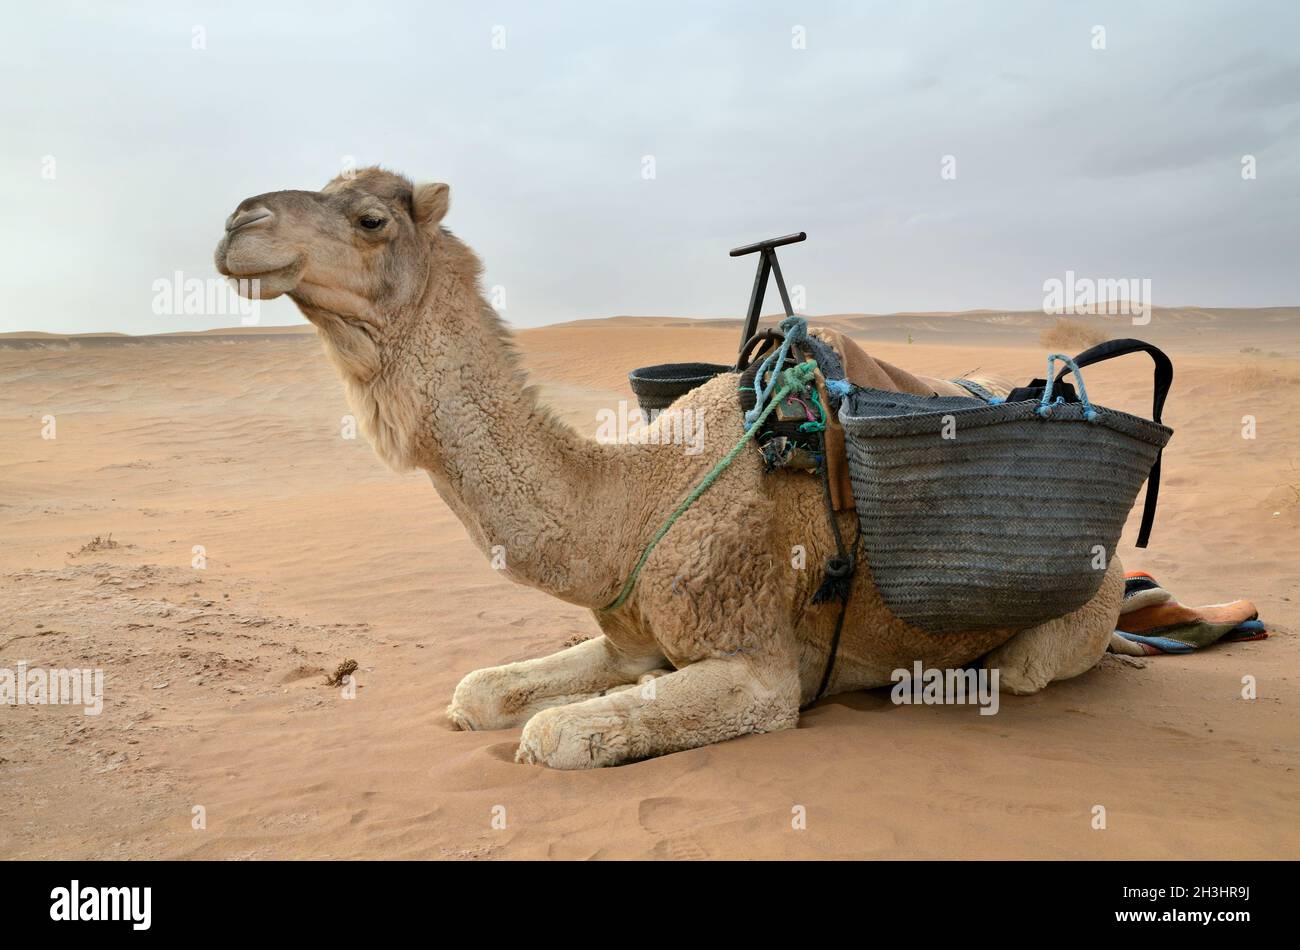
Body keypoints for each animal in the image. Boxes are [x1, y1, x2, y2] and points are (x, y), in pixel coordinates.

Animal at [214, 167, 1124, 769]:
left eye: (370, 219)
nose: (237, 223)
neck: (636, 503)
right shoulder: (632, 642)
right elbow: (480, 693)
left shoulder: (757, 665)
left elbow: (556, 733)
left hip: (1069, 622)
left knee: (1014, 670)